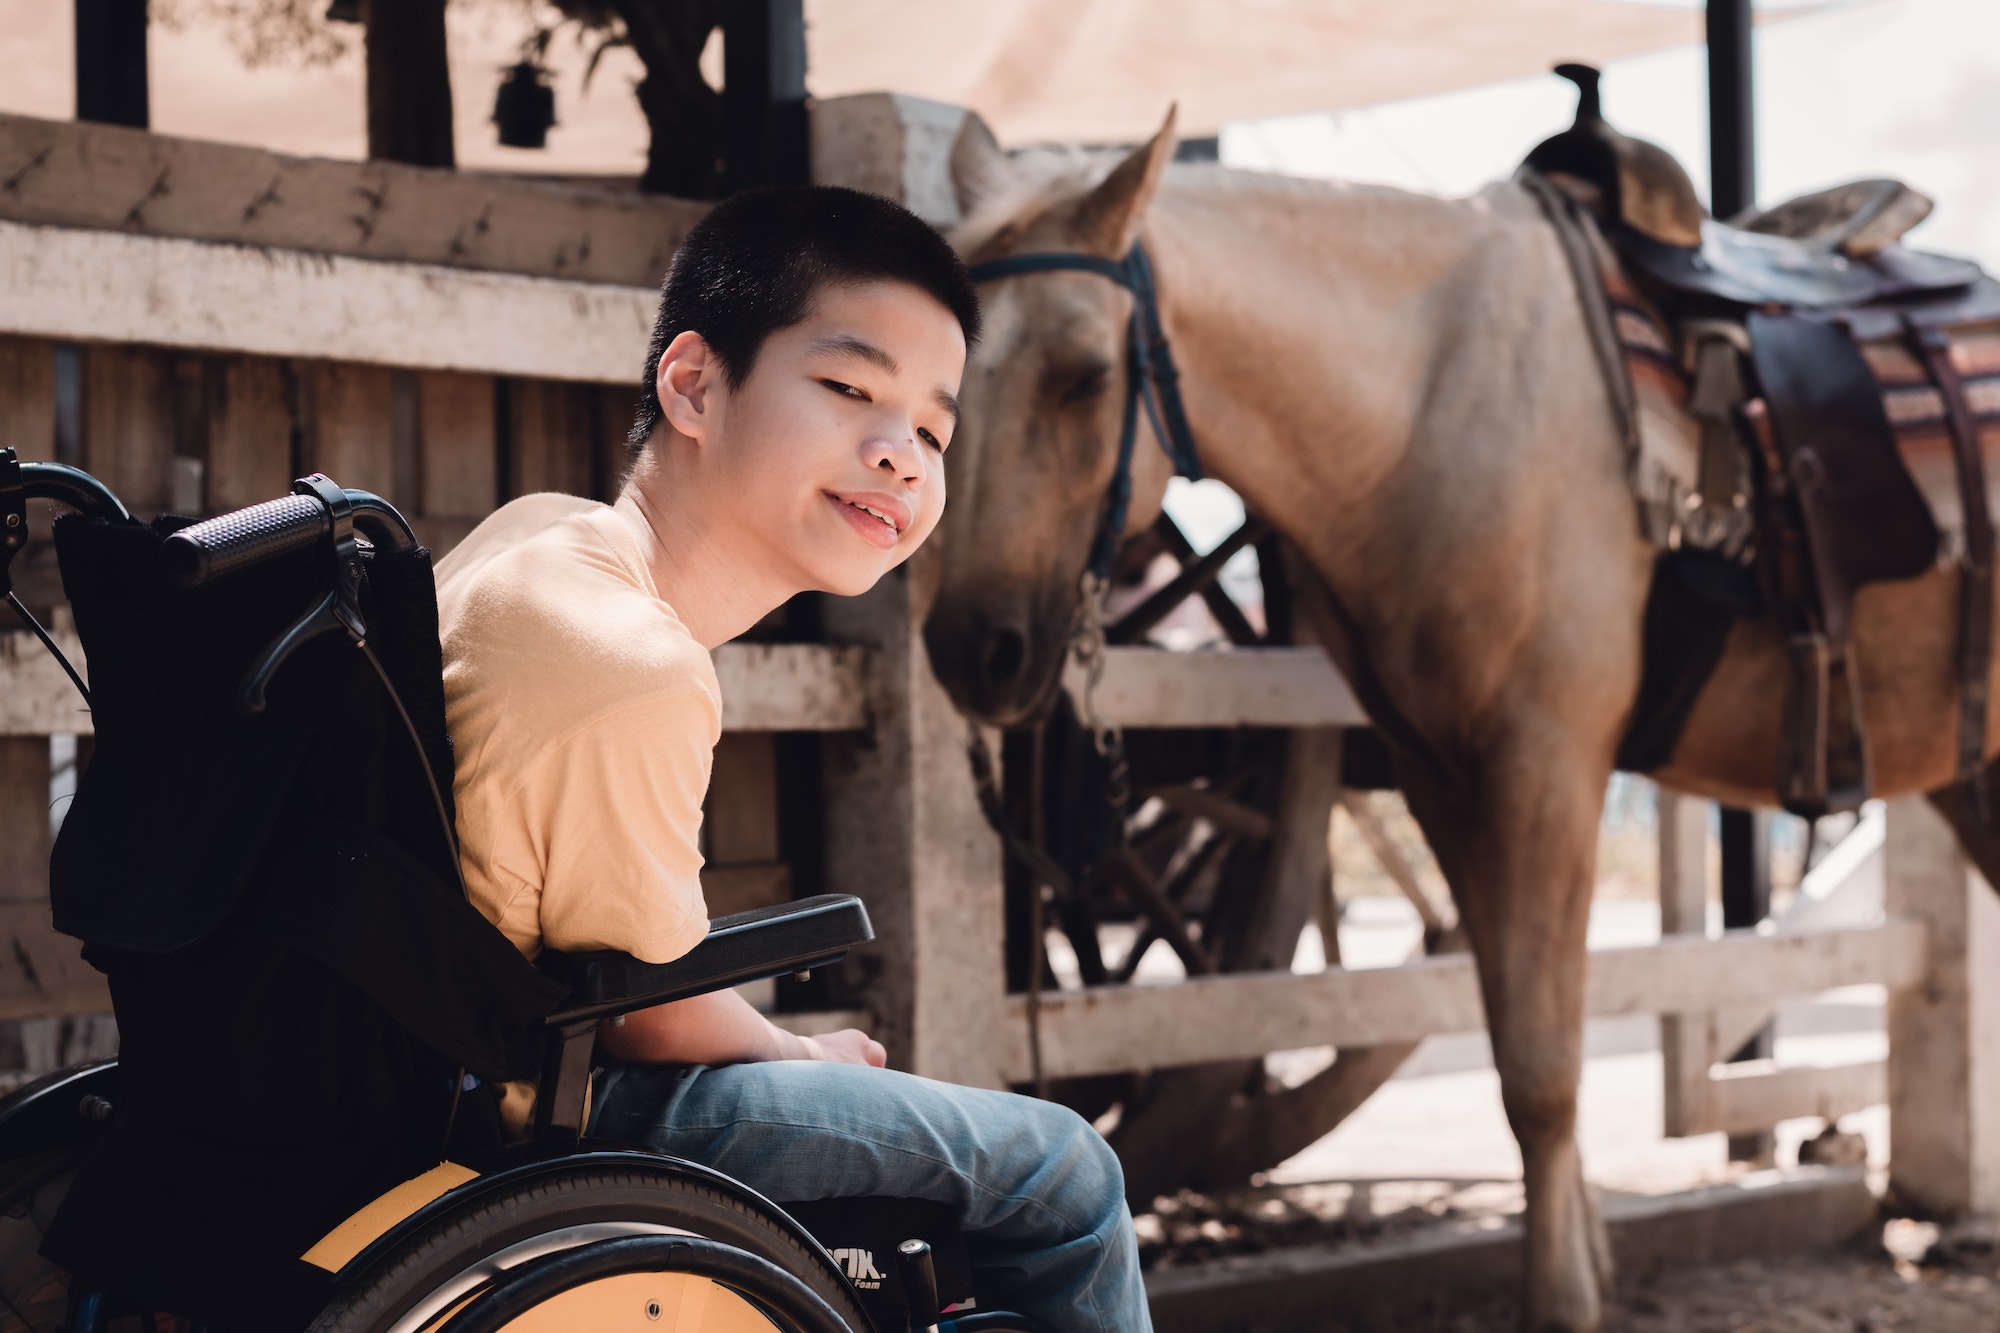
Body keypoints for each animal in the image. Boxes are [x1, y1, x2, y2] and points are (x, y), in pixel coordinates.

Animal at [920, 108, 2000, 1332]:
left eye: (1085, 376)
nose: (974, 648)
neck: (1428, 410)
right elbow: (1513, 1039)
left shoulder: (1544, 772)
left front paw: (1564, 1297)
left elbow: (1540, 1068)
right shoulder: (1444, 779)